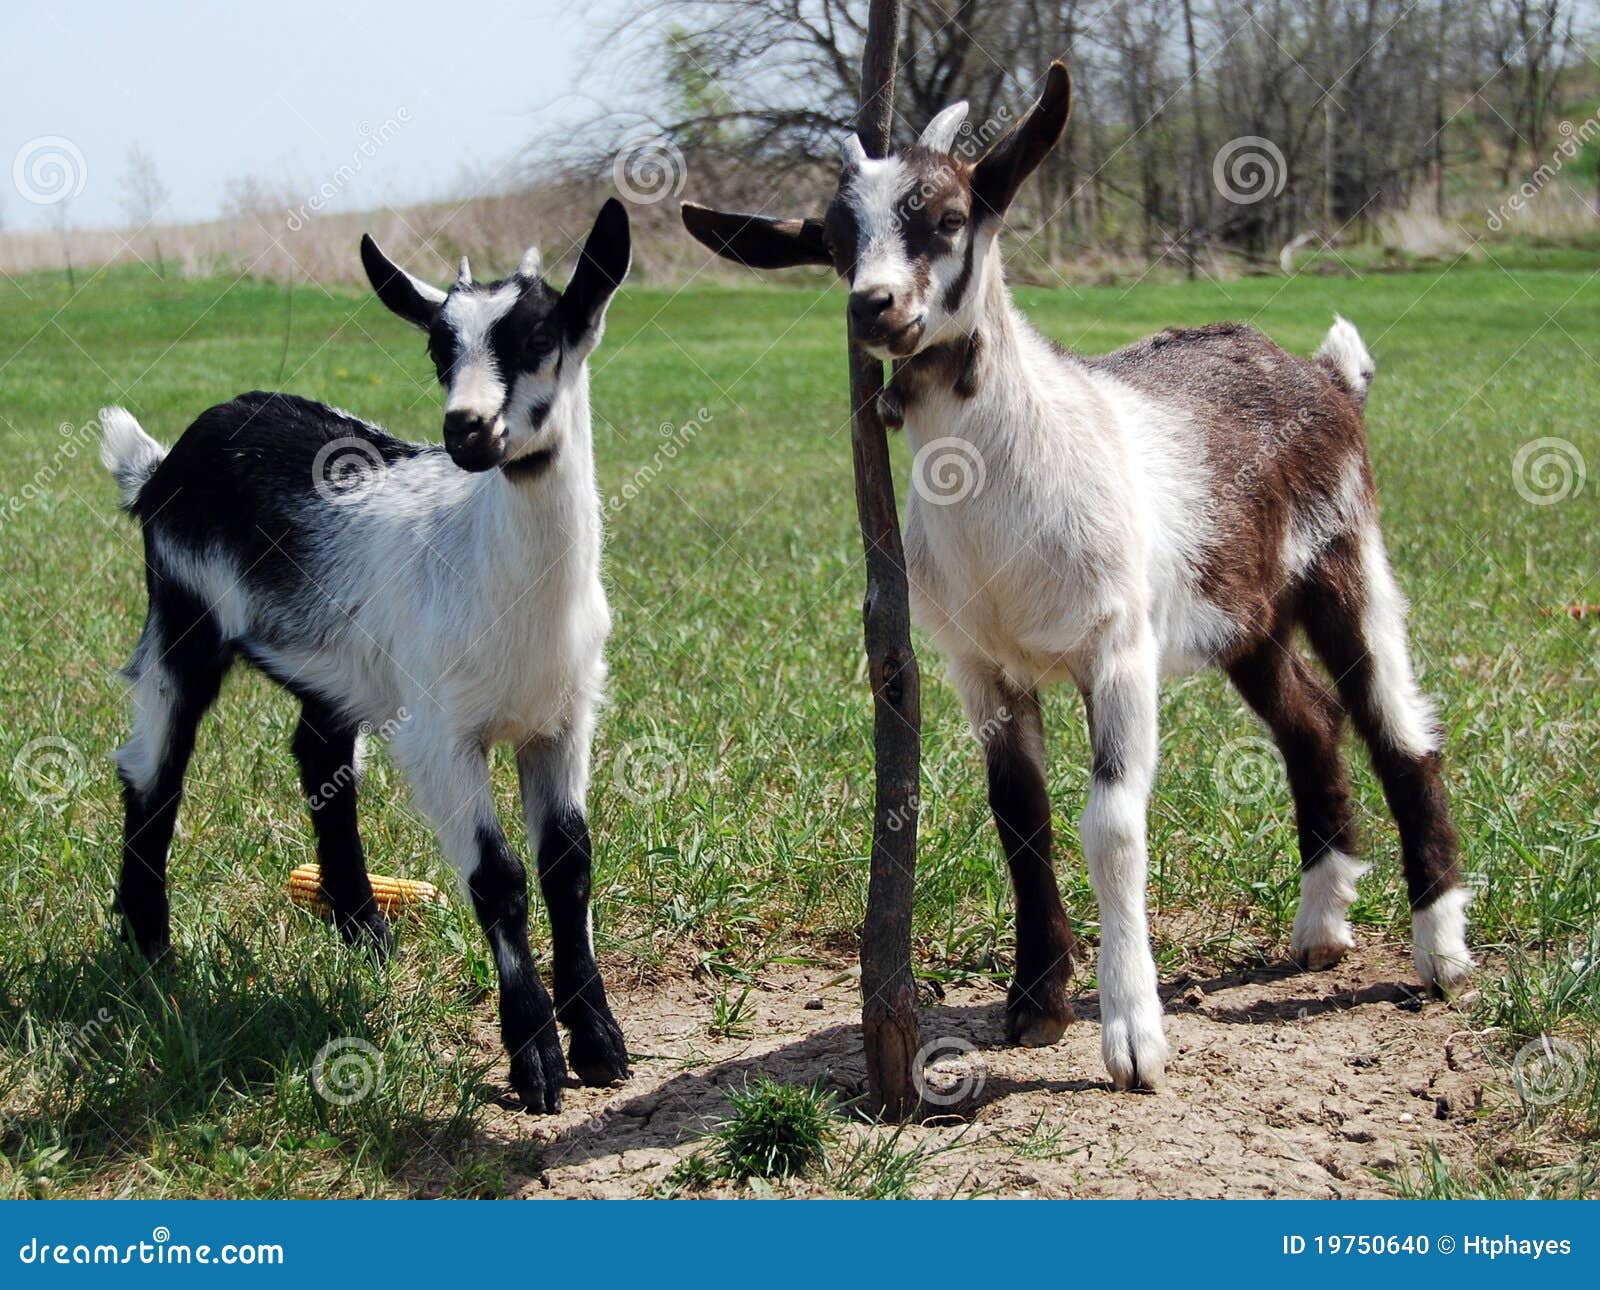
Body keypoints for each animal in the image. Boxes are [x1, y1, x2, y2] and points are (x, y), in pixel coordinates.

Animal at [98, 199, 634, 1113]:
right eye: (438, 348)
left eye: (541, 334)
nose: (466, 429)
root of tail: (163, 462)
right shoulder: (440, 735)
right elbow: (499, 878)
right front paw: (535, 1060)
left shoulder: (562, 720)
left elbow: (568, 866)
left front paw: (599, 1042)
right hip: (180, 614)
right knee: (154, 768)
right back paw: (152, 954)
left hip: (341, 658)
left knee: (319, 754)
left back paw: (362, 926)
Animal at [682, 66, 1471, 1090]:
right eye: (832, 241)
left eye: (947, 216)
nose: (874, 306)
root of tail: (1328, 374)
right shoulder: (981, 668)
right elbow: (1020, 818)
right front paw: (1036, 1001)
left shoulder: (1117, 650)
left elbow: (1113, 823)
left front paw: (1131, 1036)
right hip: (1243, 613)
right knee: (1311, 720)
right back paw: (1322, 924)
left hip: (1348, 558)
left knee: (1398, 729)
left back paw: (1440, 949)